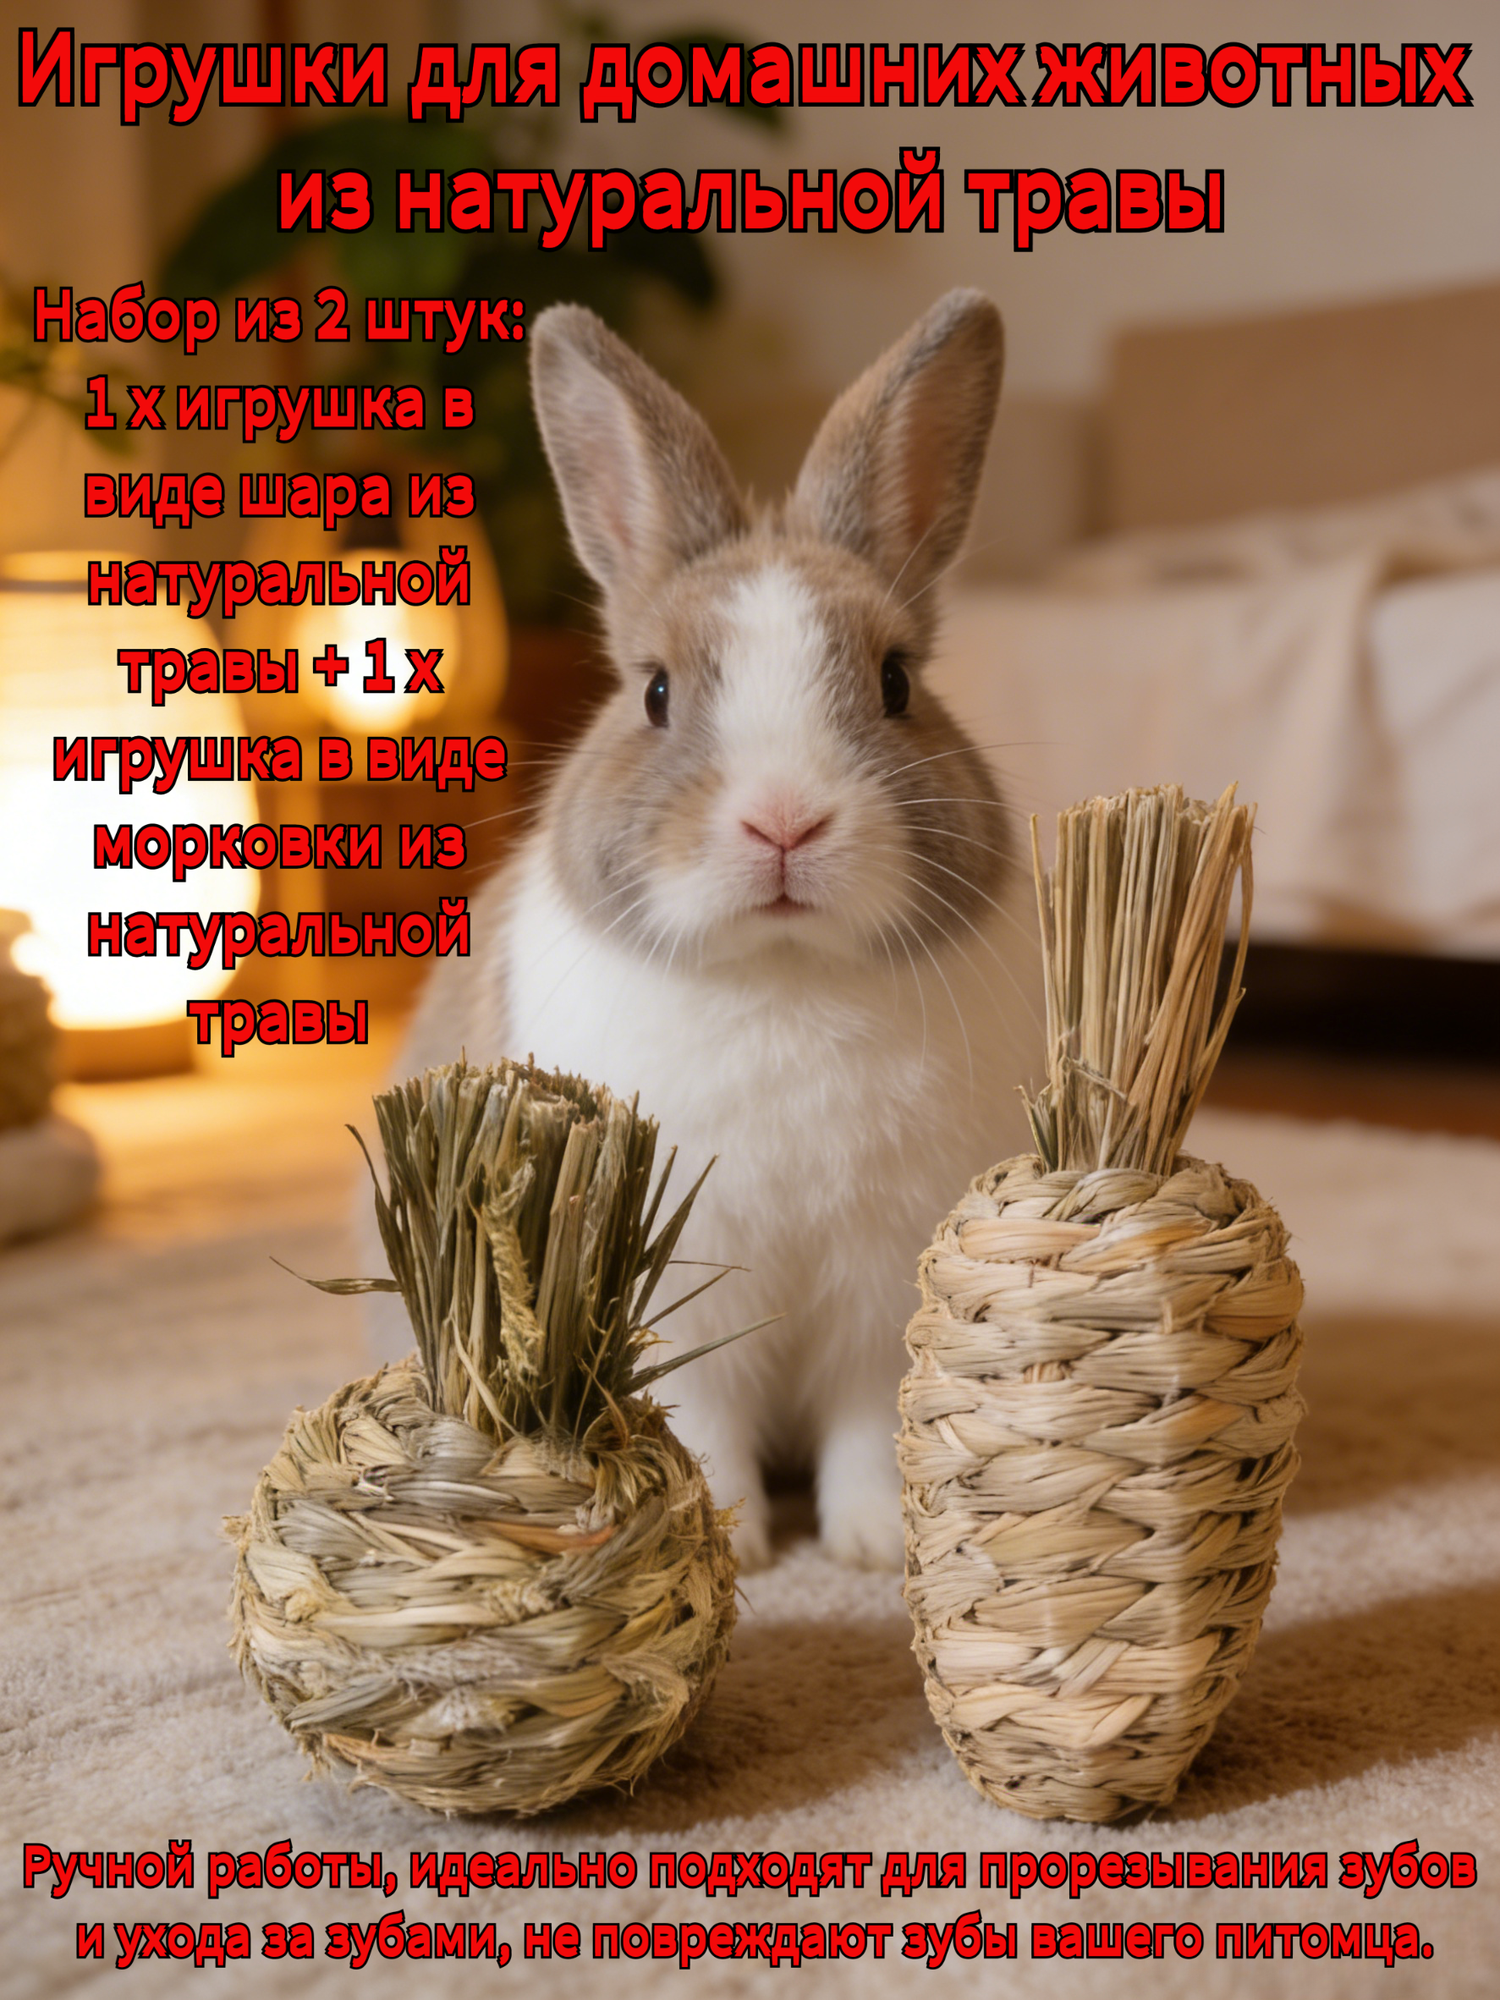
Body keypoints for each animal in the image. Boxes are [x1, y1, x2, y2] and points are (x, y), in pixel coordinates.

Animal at [370, 288, 1040, 1571]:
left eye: (896, 682)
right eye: (657, 692)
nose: (783, 820)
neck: (781, 974)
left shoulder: (877, 1290)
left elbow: (862, 1424)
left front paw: (869, 1546)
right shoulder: (683, 1286)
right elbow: (707, 1413)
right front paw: (736, 1536)